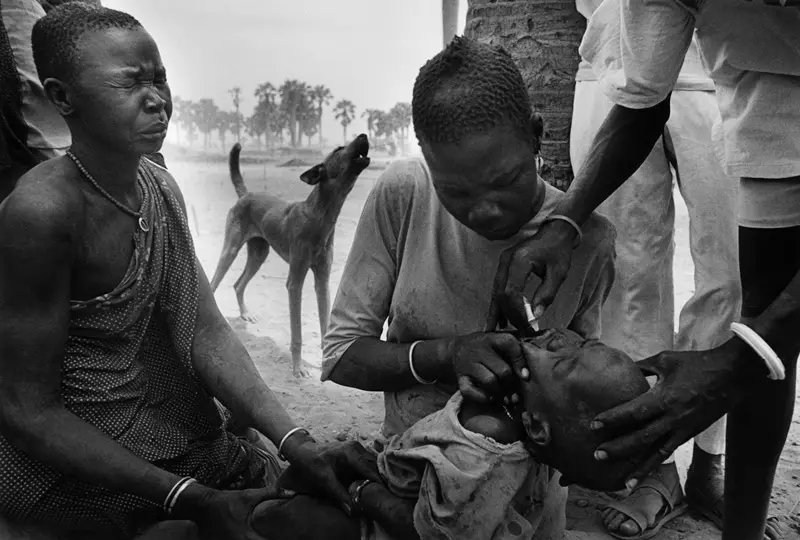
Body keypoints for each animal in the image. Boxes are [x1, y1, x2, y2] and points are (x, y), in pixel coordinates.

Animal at [206, 133, 368, 378]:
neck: (319, 216)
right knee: (214, 283)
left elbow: (324, 325)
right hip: (230, 251)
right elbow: (297, 333)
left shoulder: (323, 281)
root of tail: (246, 194)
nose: (364, 135)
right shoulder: (295, 283)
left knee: (238, 284)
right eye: (339, 148)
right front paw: (298, 368)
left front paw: (326, 361)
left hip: (259, 254)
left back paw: (245, 314)